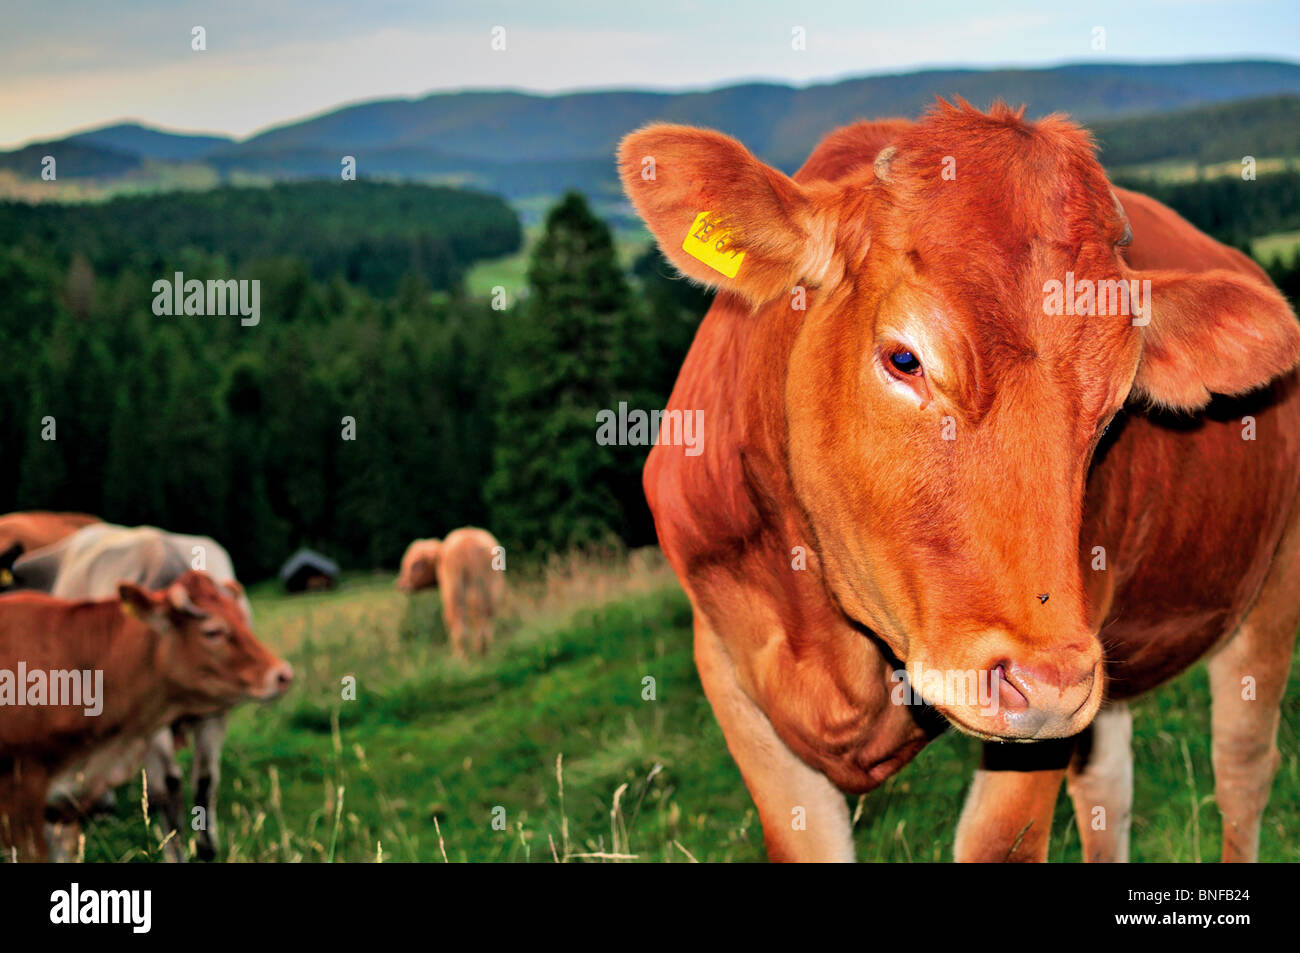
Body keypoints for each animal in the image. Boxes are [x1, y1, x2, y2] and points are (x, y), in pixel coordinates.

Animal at [397, 528, 505, 658]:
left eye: (417, 564)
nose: (401, 584)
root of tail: (468, 542)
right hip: (491, 593)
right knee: (485, 621)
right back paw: (483, 653)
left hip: (454, 594)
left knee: (459, 625)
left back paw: (460, 657)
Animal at [618, 100, 1300, 862]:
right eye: (904, 358)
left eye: (1119, 403)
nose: (1048, 685)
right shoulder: (726, 668)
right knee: (1109, 788)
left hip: (1268, 588)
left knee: (1242, 768)